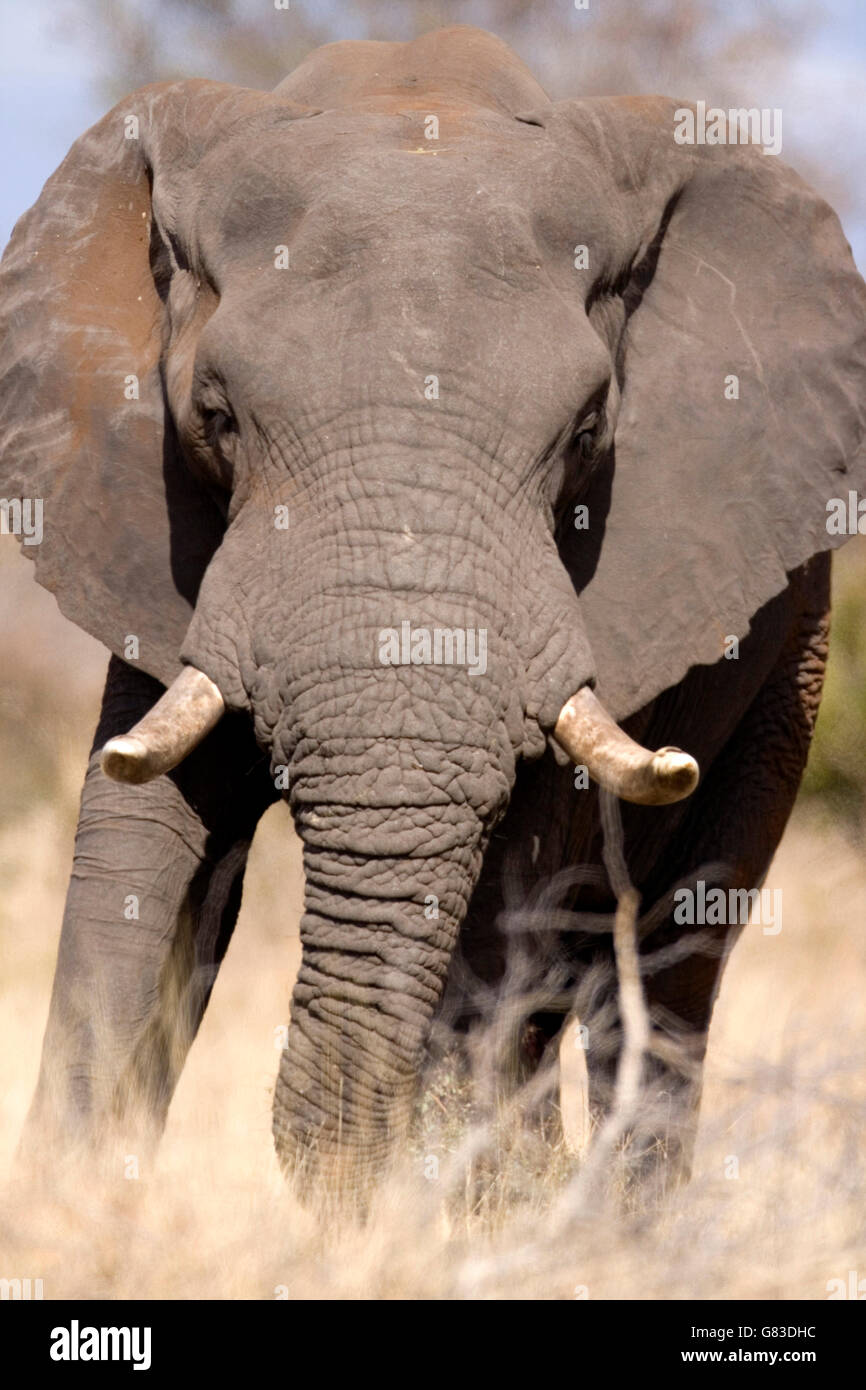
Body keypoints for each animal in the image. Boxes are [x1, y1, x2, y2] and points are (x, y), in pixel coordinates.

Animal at [1, 26, 865, 1192]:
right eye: (216, 418)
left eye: (587, 432)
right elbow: (139, 847)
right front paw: (80, 1200)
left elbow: (515, 888)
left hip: (791, 662)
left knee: (664, 962)